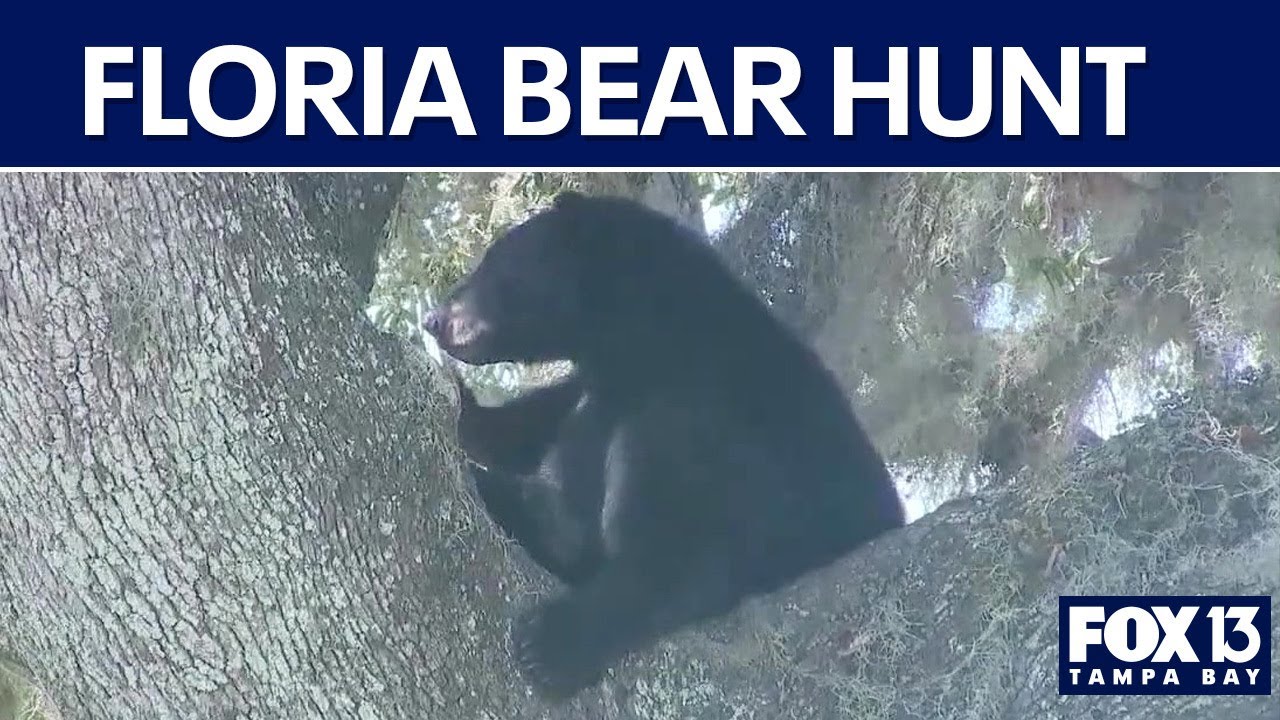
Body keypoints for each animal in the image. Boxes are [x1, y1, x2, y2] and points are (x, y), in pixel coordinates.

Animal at [423, 191, 906, 701]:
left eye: (492, 262)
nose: (434, 320)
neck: (650, 348)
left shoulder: (712, 423)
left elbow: (681, 543)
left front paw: (555, 642)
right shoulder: (588, 400)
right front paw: (466, 411)